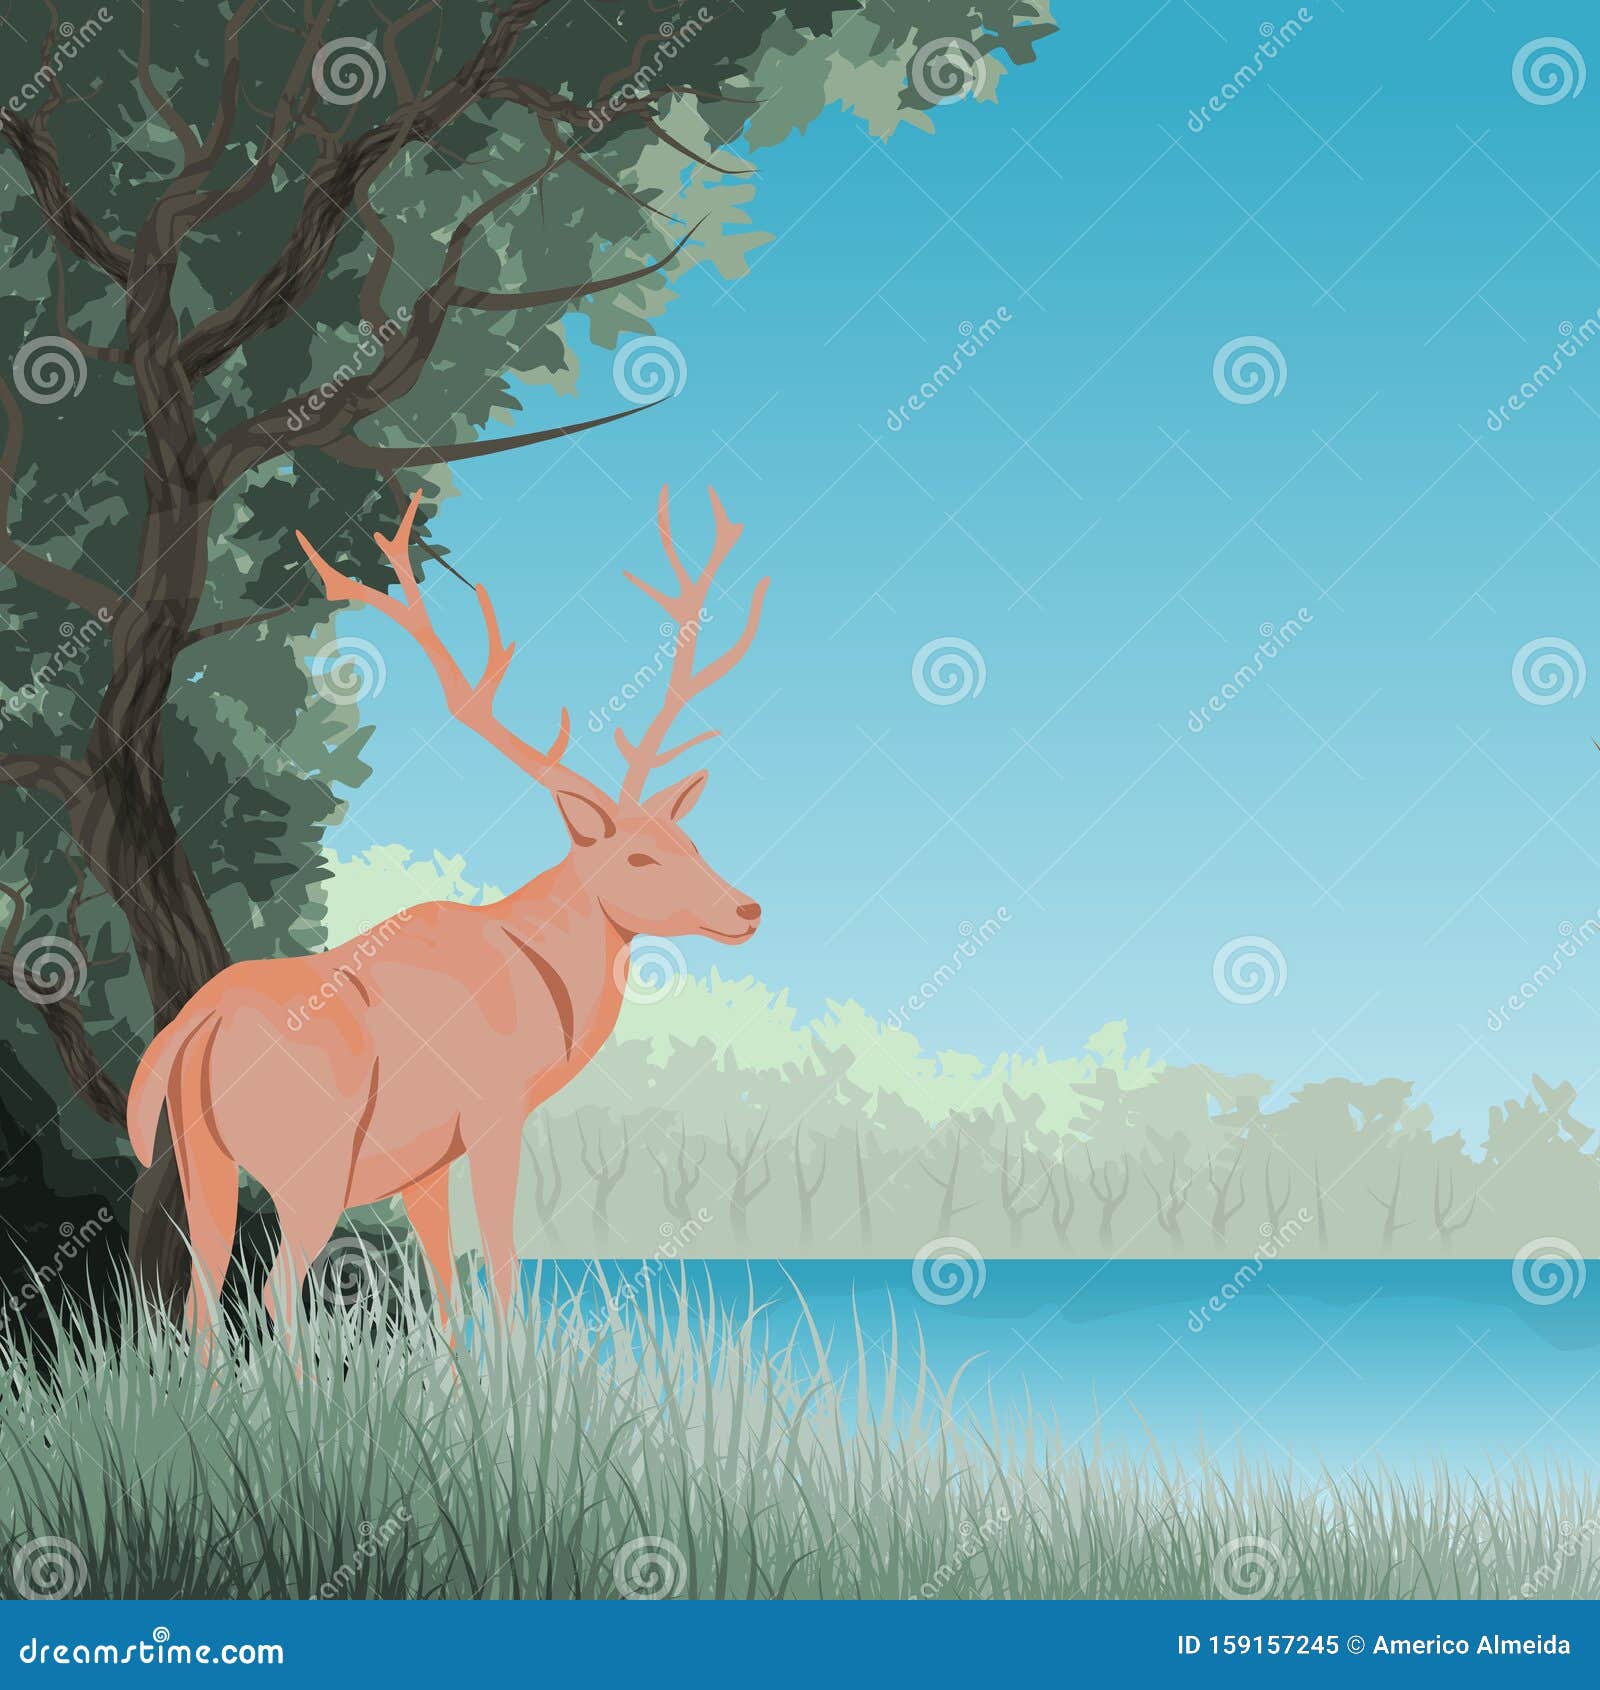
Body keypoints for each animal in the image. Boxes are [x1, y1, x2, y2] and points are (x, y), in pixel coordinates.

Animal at [126, 486, 768, 1339]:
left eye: (689, 839)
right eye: (638, 858)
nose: (747, 908)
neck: (549, 1002)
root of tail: (188, 1029)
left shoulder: (424, 1162)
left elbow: (444, 1289)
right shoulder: (494, 1112)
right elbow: (499, 1264)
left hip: (203, 1157)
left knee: (198, 1295)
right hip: (309, 1162)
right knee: (272, 1289)